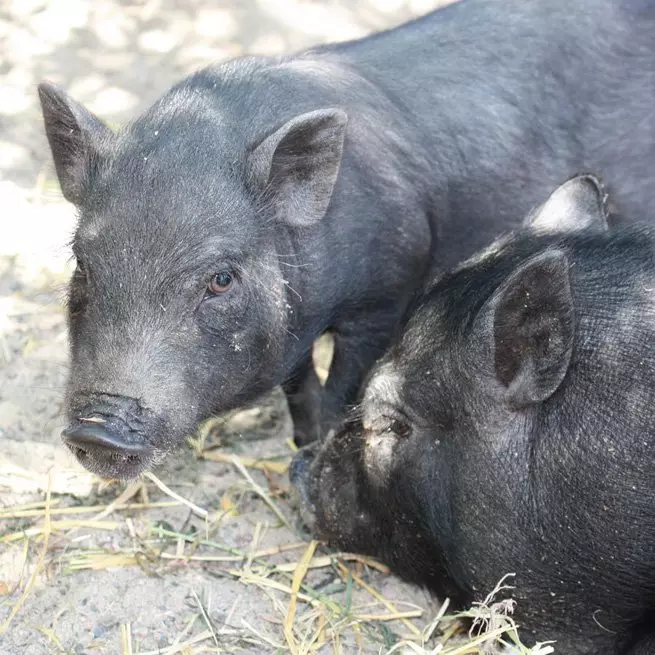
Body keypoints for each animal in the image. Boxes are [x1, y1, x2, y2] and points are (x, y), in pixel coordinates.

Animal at [38, 1, 655, 482]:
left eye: (221, 279)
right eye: (83, 264)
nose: (97, 431)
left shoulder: (389, 290)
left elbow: (344, 381)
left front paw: (317, 448)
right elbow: (296, 379)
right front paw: (303, 437)